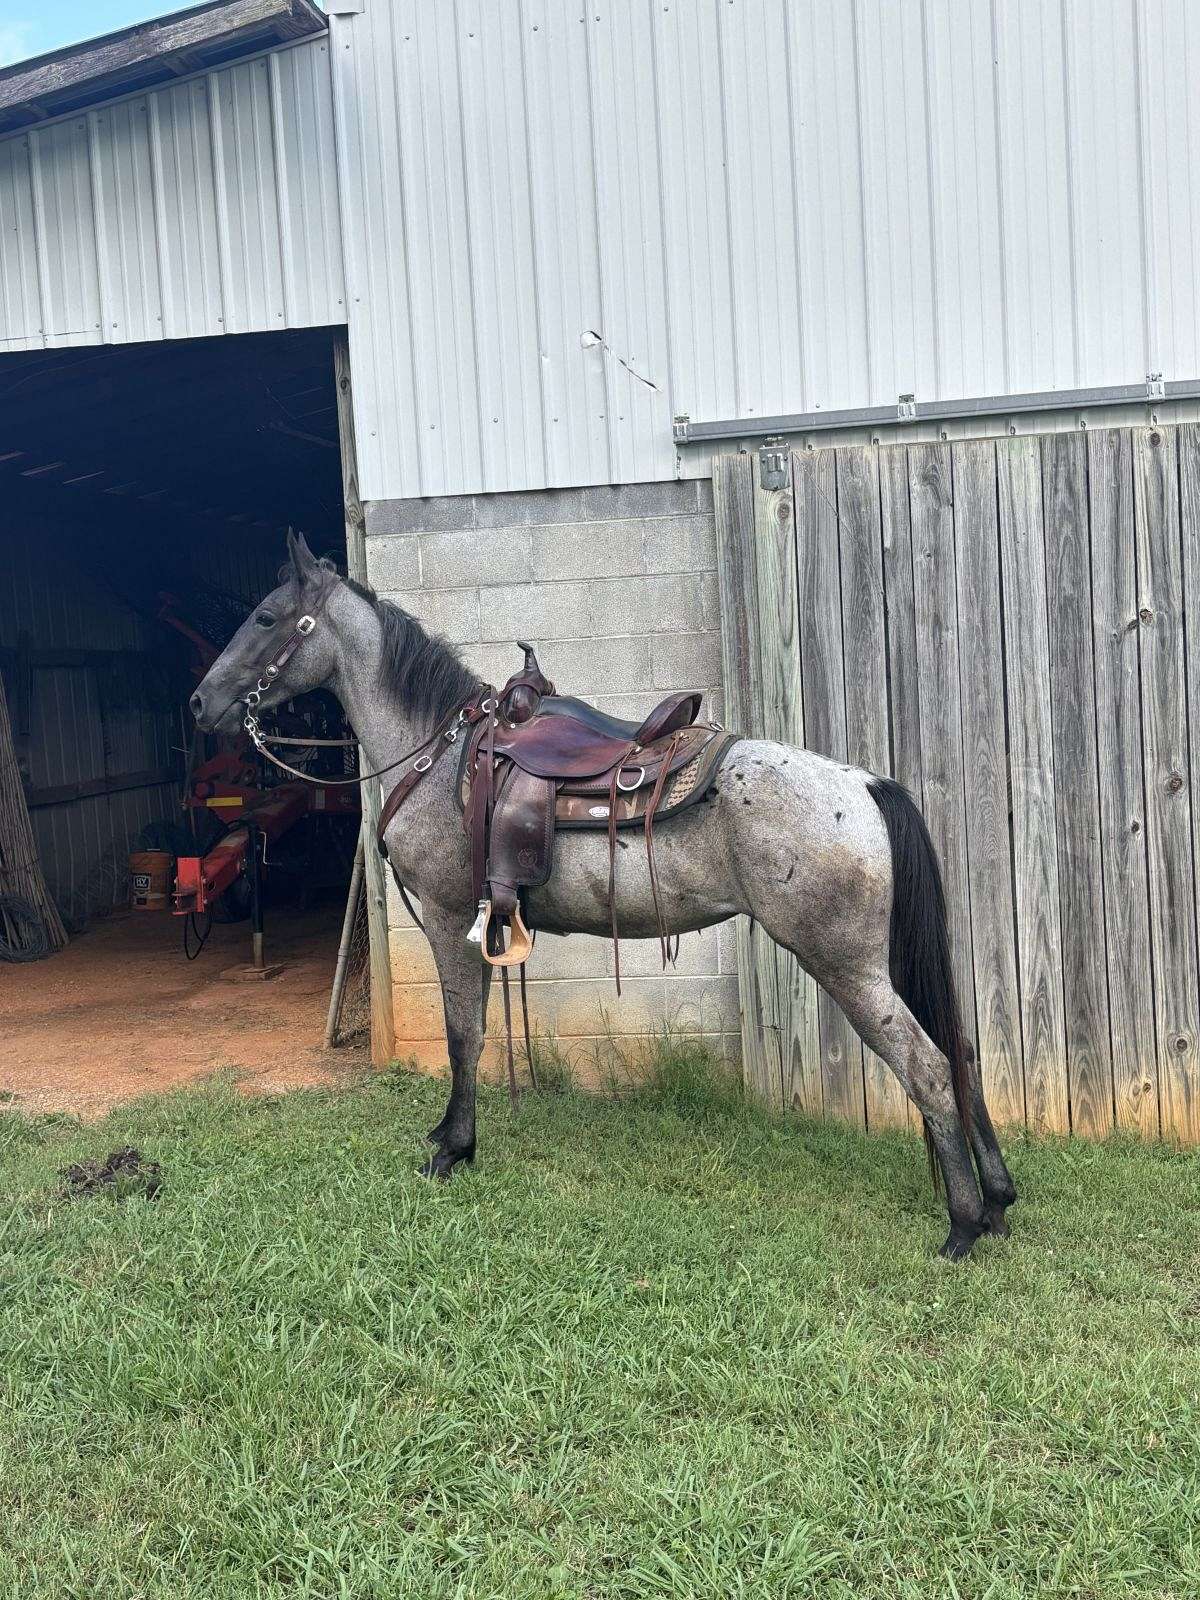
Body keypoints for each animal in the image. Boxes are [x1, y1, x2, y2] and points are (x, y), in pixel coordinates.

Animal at [191, 532, 1016, 1259]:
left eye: (266, 617)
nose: (200, 704)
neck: (441, 757)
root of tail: (864, 785)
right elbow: (475, 1031)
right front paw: (453, 1139)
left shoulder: (451, 921)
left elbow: (462, 1036)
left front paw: (451, 1150)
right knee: (961, 1048)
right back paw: (1000, 1200)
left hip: (848, 967)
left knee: (929, 1066)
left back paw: (962, 1225)